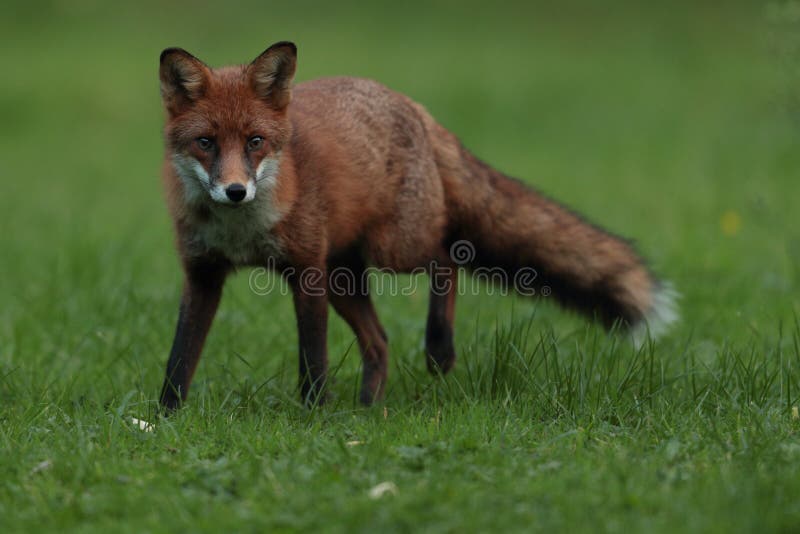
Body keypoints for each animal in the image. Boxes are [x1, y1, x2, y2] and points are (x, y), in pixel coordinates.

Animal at [157, 41, 677, 410]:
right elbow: (180, 356)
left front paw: (312, 414)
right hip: (343, 277)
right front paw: (165, 418)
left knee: (448, 259)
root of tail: (412, 104)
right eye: (206, 142)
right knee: (380, 341)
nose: (235, 191)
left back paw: (439, 350)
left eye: (255, 141)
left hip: (391, 251)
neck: (240, 231)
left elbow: (313, 358)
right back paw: (368, 409)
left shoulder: (304, 272)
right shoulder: (202, 274)